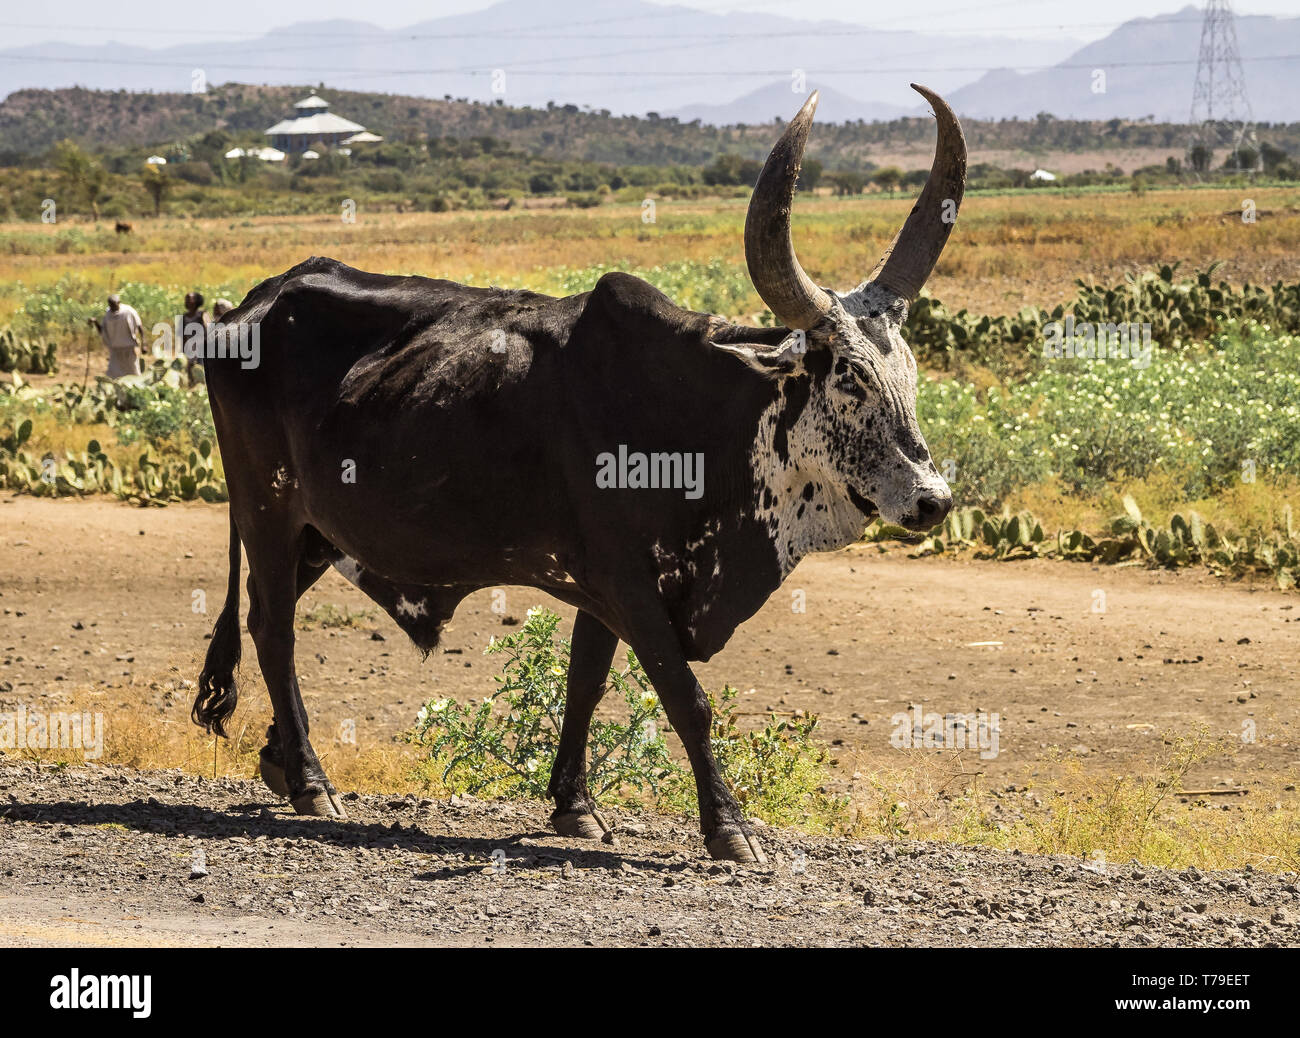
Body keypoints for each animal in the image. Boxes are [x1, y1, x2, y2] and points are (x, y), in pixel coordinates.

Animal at [194, 85, 966, 862]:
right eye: (849, 379)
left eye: (910, 374)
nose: (932, 500)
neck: (693, 419)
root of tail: (250, 303)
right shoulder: (627, 582)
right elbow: (686, 697)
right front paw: (729, 827)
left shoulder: (604, 589)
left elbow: (586, 680)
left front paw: (575, 805)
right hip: (267, 508)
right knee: (274, 626)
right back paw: (311, 780)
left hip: (318, 531)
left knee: (265, 612)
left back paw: (280, 760)